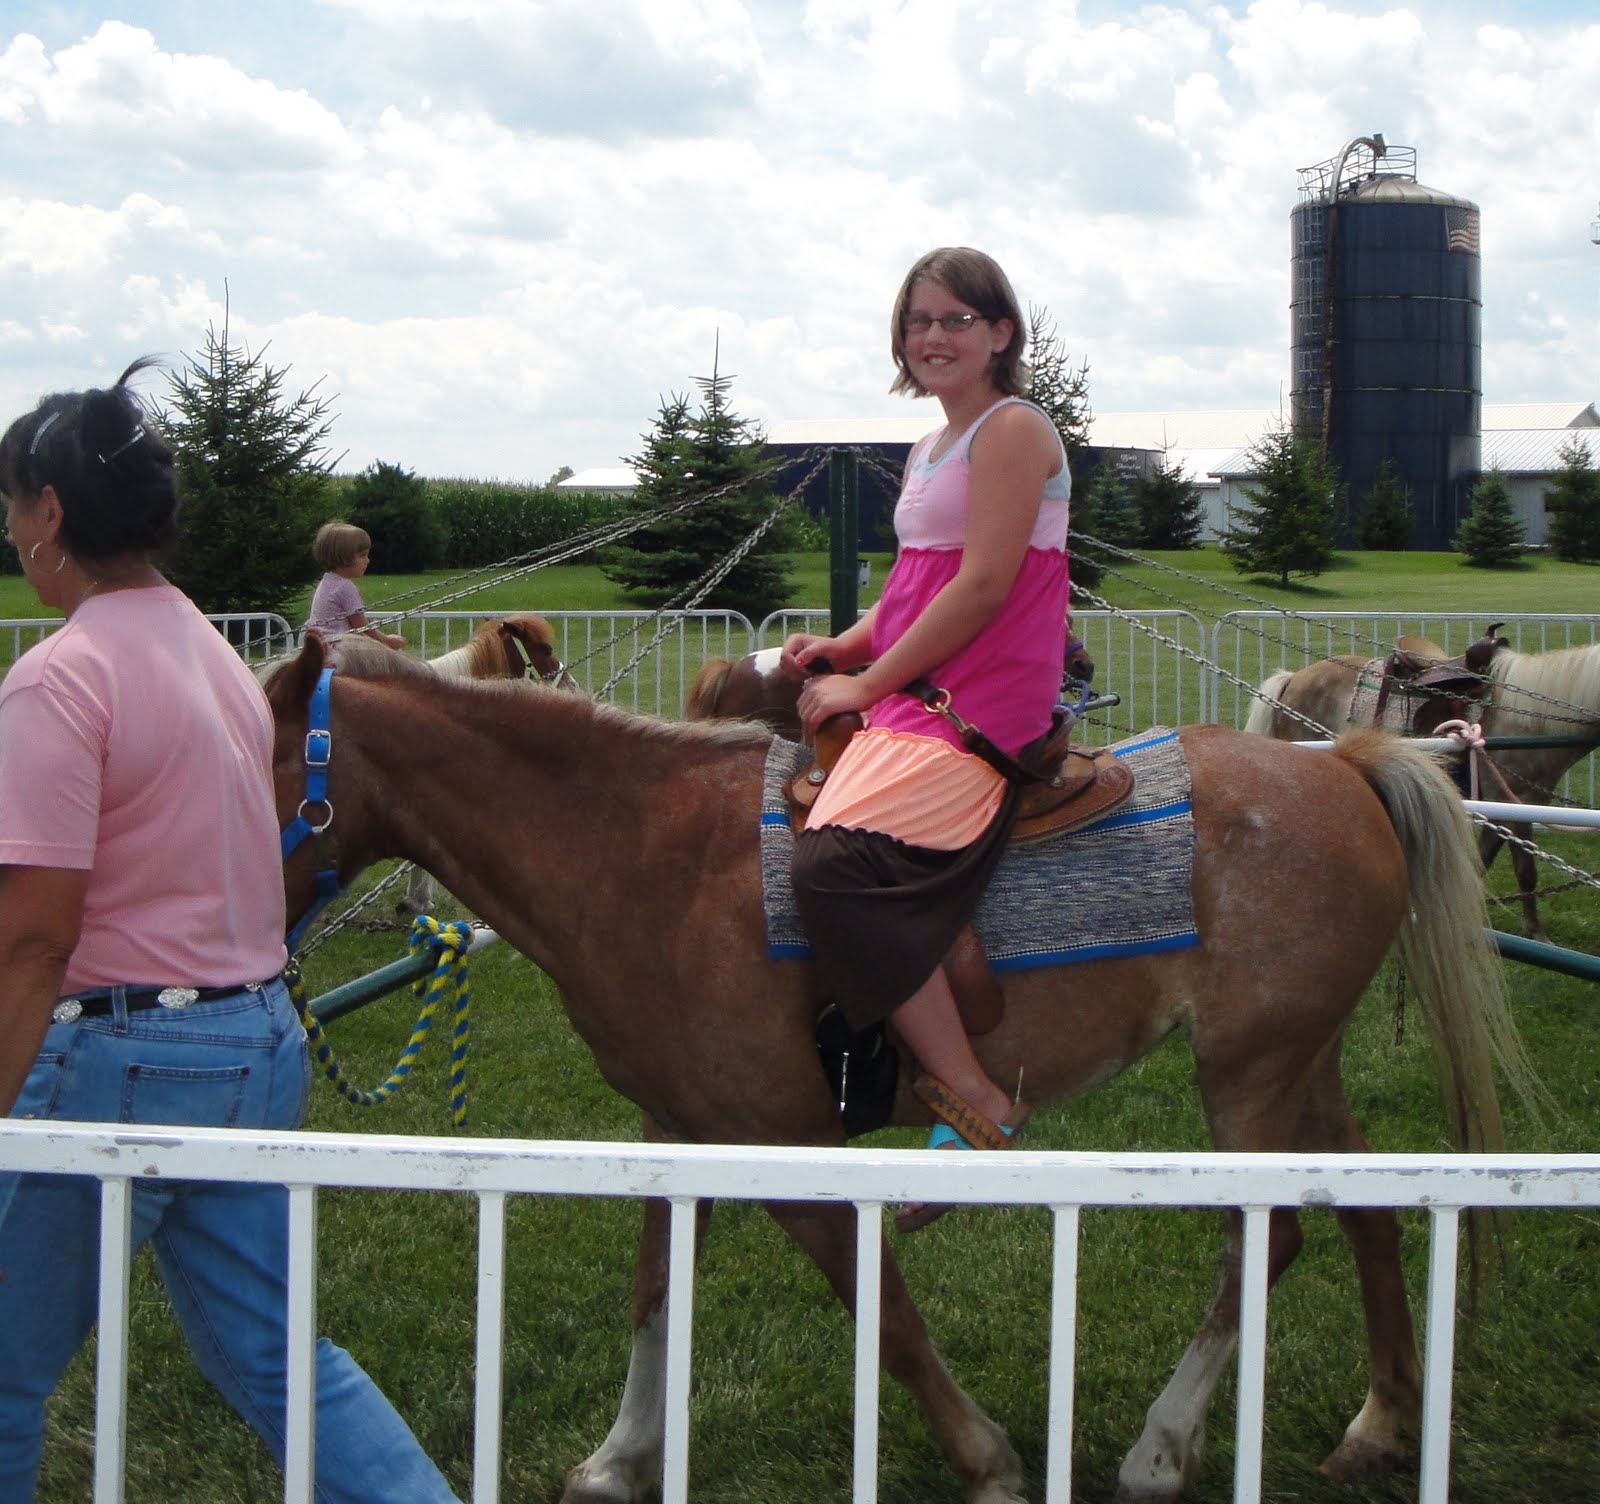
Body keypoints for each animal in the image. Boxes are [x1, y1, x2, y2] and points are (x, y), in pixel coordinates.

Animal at [265, 635, 1533, 1504]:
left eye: (246, 760)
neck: (641, 852)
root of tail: (1347, 766)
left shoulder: (786, 1141)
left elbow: (881, 1306)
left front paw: (985, 1460)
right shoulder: (681, 1130)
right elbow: (654, 1292)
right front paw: (618, 1458)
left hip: (1247, 1076)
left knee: (1263, 1240)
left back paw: (1159, 1449)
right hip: (1292, 1061)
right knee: (1364, 1207)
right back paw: (1379, 1422)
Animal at [1244, 639, 1600, 940]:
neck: (1529, 718)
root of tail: (1294, 678)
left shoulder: (1506, 810)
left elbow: (1482, 864)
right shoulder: (1515, 807)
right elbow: (1526, 870)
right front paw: (1536, 933)